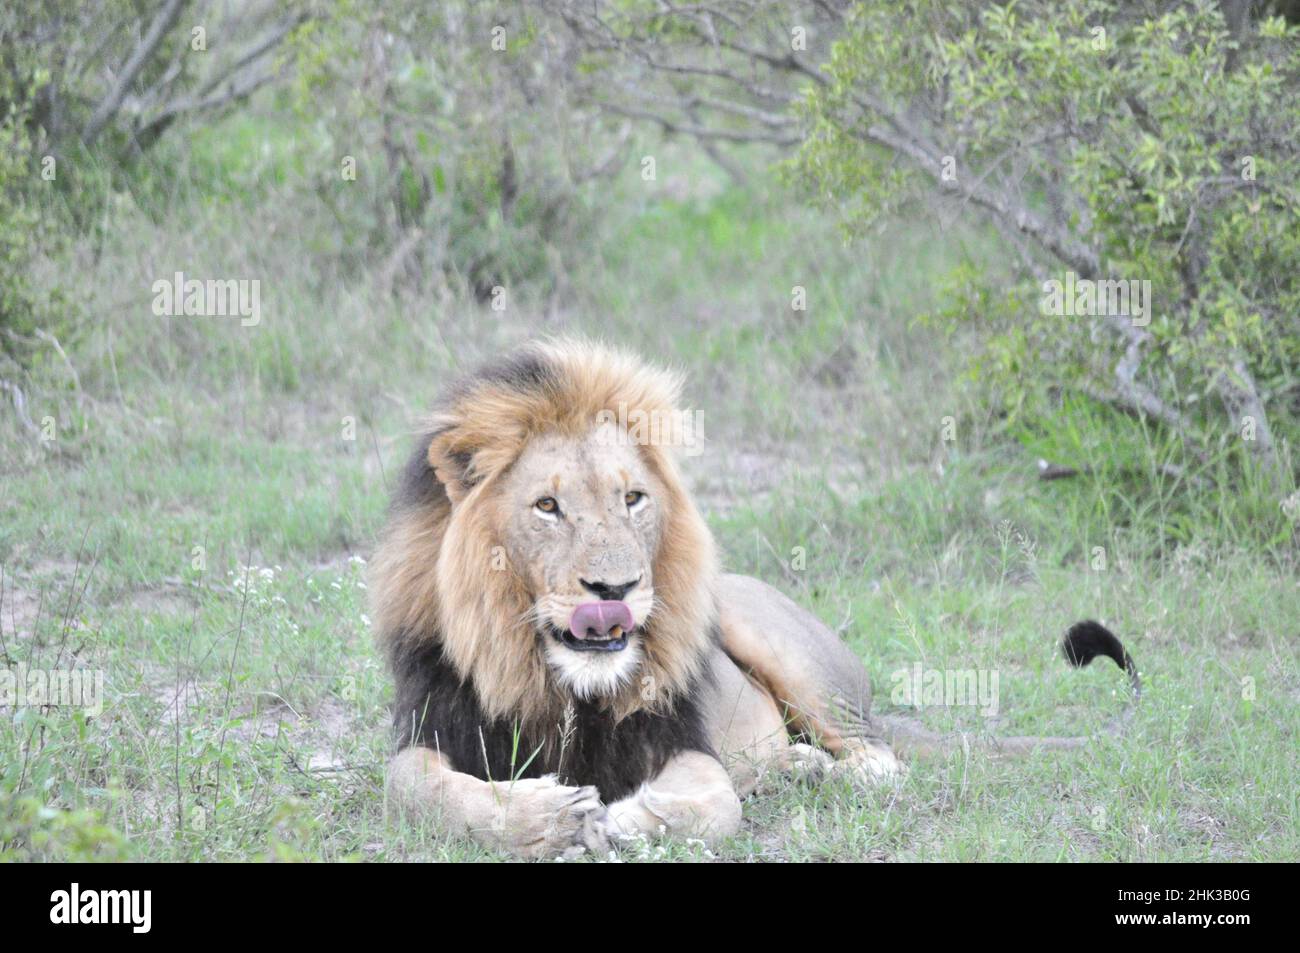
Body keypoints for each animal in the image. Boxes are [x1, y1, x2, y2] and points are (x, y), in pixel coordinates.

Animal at [371, 339, 1139, 859]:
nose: (615, 589)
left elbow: (712, 804)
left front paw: (623, 819)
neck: (560, 682)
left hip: (778, 647)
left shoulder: (680, 739)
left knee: (877, 760)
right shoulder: (430, 727)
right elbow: (415, 790)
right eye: (547, 506)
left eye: (633, 498)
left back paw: (823, 775)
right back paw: (795, 771)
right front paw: (547, 817)